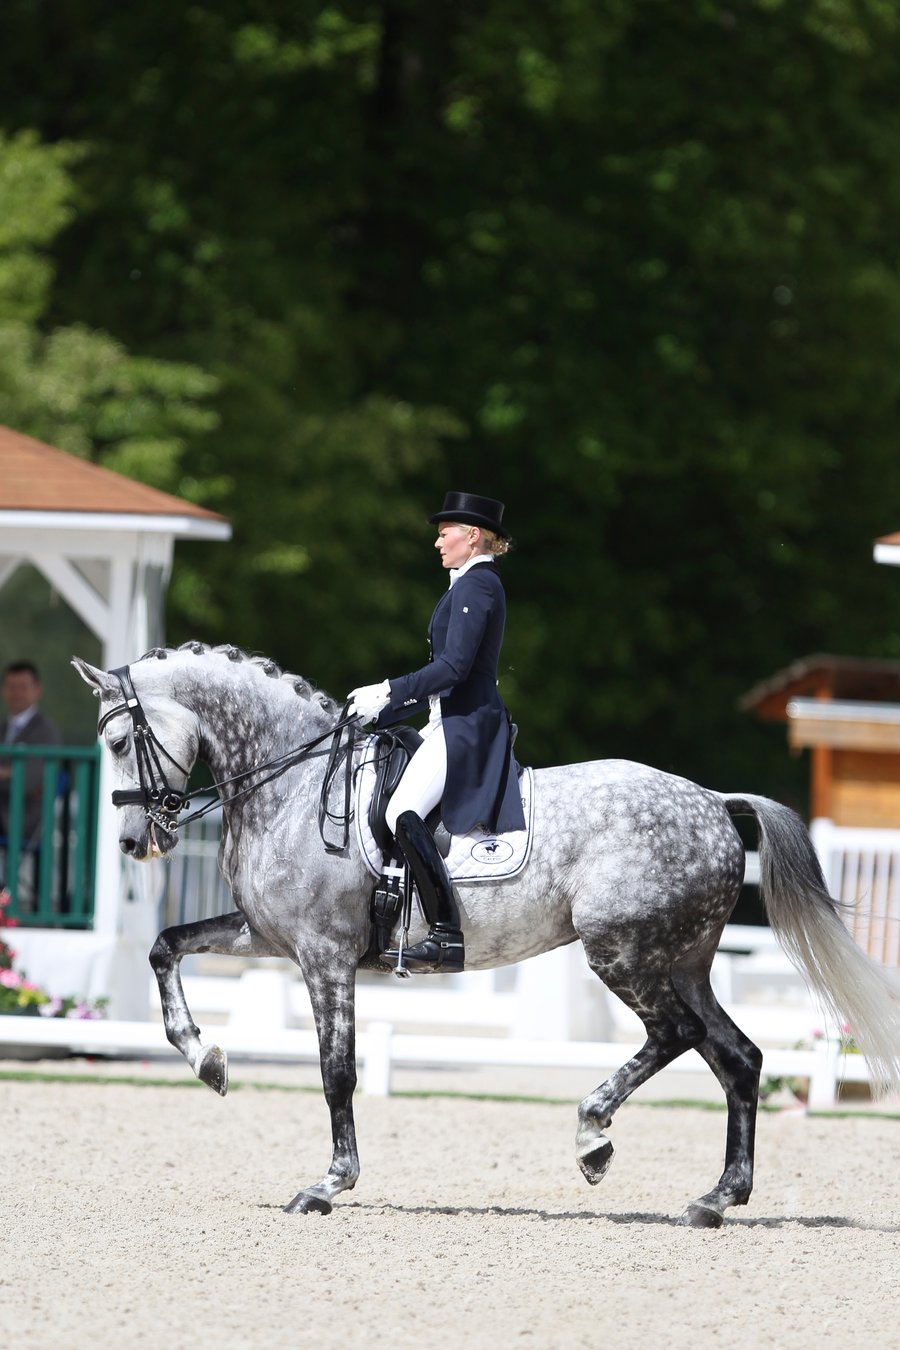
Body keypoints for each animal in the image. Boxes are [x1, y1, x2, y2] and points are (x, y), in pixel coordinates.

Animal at [73, 642, 900, 1227]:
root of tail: (712, 801)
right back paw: (715, 1198)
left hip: (623, 952)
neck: (294, 786)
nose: (134, 844)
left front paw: (329, 1184)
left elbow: (336, 1072)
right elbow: (166, 945)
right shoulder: (267, 938)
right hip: (684, 959)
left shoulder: (324, 956)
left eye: (115, 742)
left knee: (676, 1035)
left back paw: (594, 1138)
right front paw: (206, 1058)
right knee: (737, 1057)